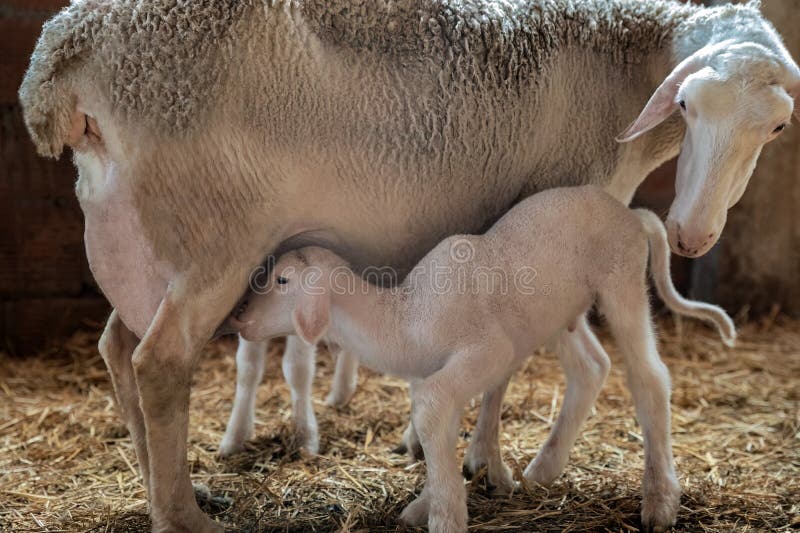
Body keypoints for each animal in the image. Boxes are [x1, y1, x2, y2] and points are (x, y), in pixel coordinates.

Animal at [231, 185, 735, 532]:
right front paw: (429, 500)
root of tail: (630, 212)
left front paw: (444, 515)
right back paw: (543, 470)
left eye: (282, 280)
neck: (403, 318)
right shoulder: (439, 369)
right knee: (592, 368)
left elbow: (431, 410)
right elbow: (435, 426)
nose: (240, 319)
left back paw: (660, 501)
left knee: (650, 377)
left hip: (621, 281)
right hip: (560, 313)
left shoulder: (487, 353)